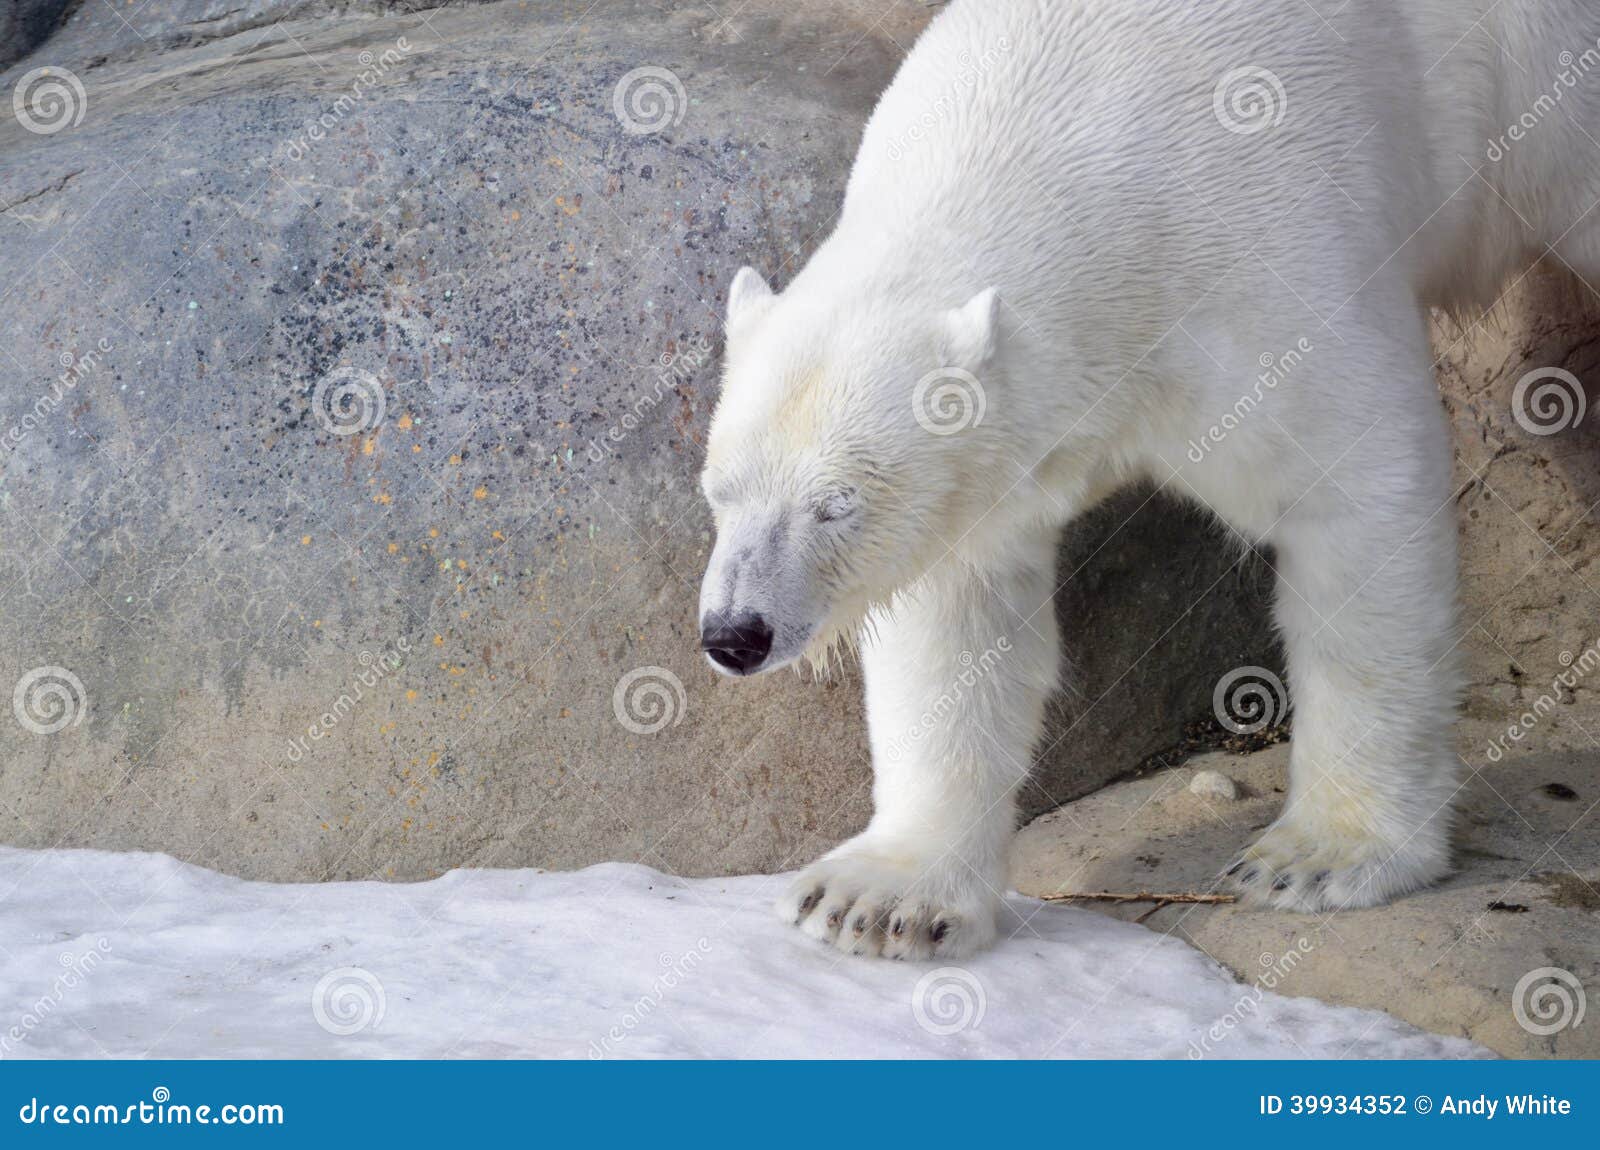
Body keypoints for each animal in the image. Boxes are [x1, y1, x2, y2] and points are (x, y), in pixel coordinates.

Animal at [697, 0, 1600, 958]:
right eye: (719, 492)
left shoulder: (1263, 265)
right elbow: (958, 609)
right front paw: (878, 898)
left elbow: (1359, 491)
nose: (735, 635)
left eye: (835, 506)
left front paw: (1320, 858)